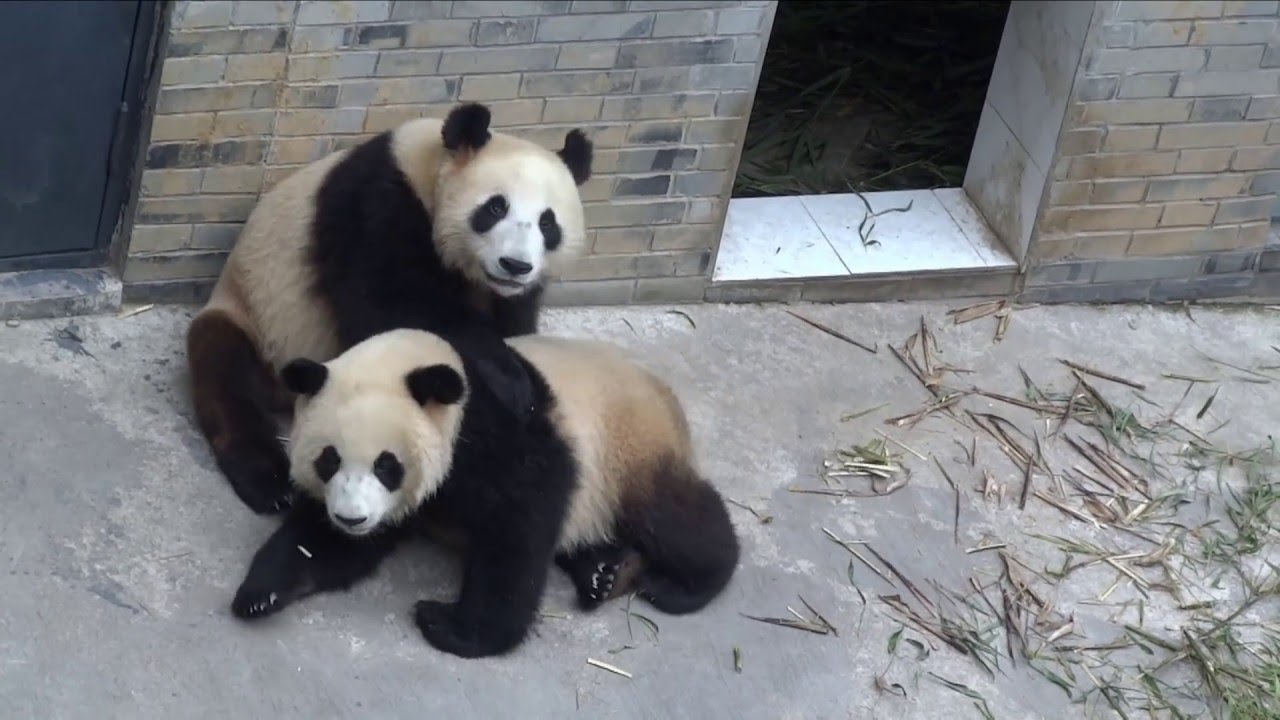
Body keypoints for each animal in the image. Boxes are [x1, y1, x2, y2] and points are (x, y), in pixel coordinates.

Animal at [186, 102, 593, 516]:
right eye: (495, 207)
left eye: (548, 222)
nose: (515, 265)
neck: (427, 171)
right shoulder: (373, 210)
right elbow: (391, 309)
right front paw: (509, 379)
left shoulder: (510, 293)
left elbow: (516, 321)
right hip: (254, 316)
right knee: (226, 375)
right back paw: (268, 482)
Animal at [229, 328, 740, 659]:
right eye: (329, 460)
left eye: (387, 465)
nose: (352, 518)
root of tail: (666, 395)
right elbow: (319, 543)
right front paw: (261, 593)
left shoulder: (502, 436)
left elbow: (516, 532)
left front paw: (448, 625)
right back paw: (605, 573)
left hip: (625, 449)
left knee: (671, 516)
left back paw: (681, 585)